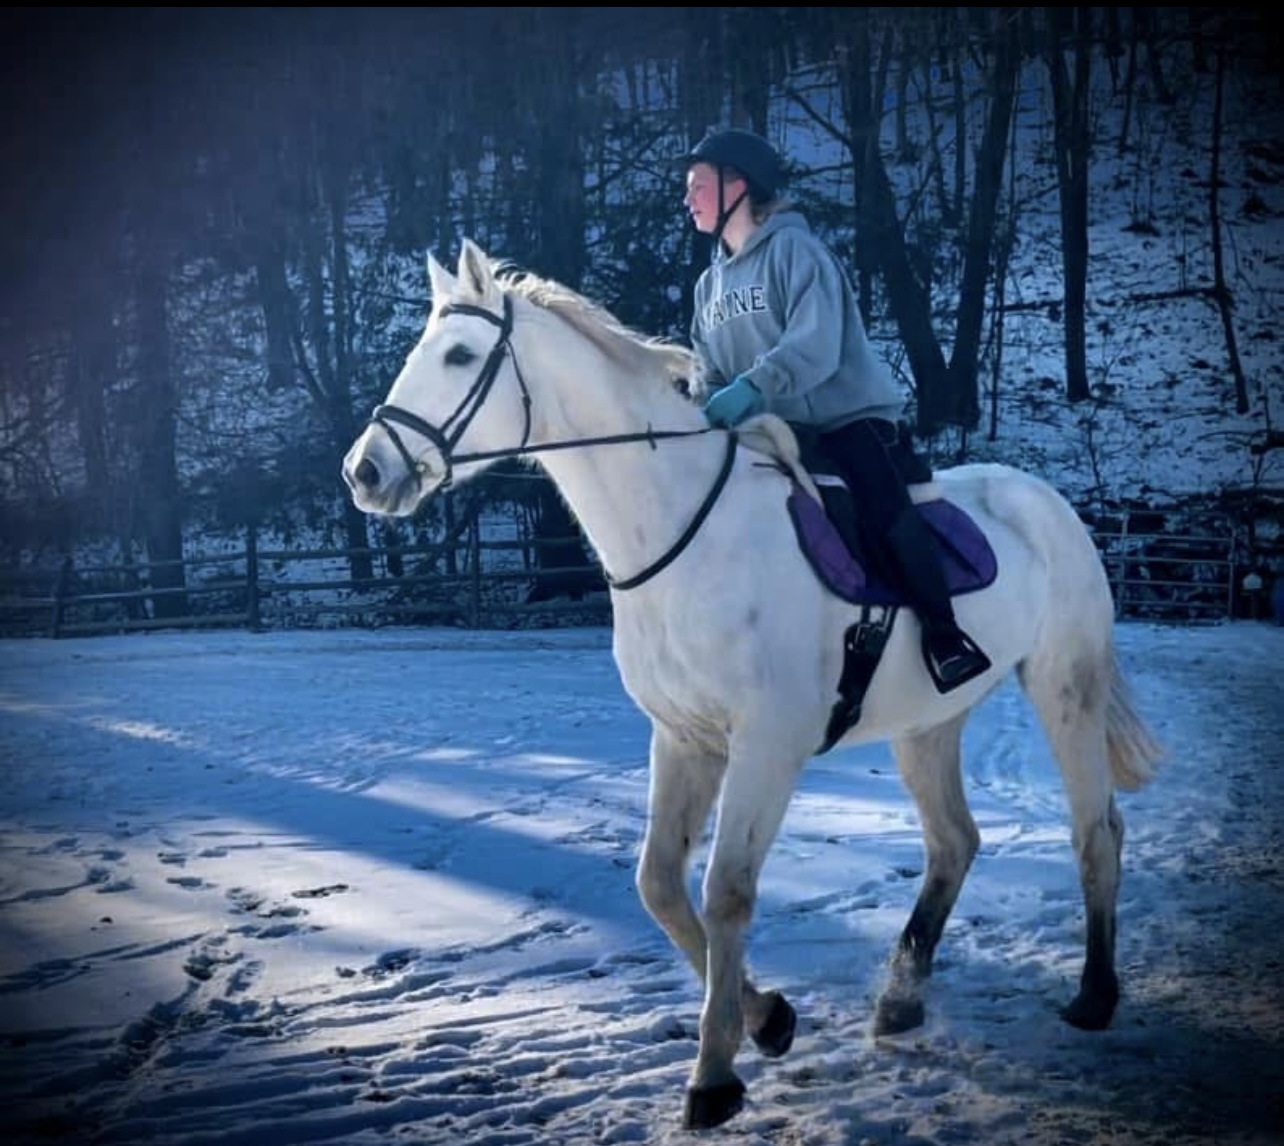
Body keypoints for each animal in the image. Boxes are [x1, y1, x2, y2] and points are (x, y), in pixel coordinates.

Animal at [341, 238, 1163, 1131]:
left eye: (459, 355)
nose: (366, 471)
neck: (681, 534)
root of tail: (1049, 501)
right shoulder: (683, 738)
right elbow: (660, 887)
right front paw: (767, 1020)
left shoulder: (767, 746)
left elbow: (726, 893)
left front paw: (713, 1076)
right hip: (927, 725)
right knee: (955, 841)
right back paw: (902, 999)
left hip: (1066, 690)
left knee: (1096, 831)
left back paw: (1095, 995)